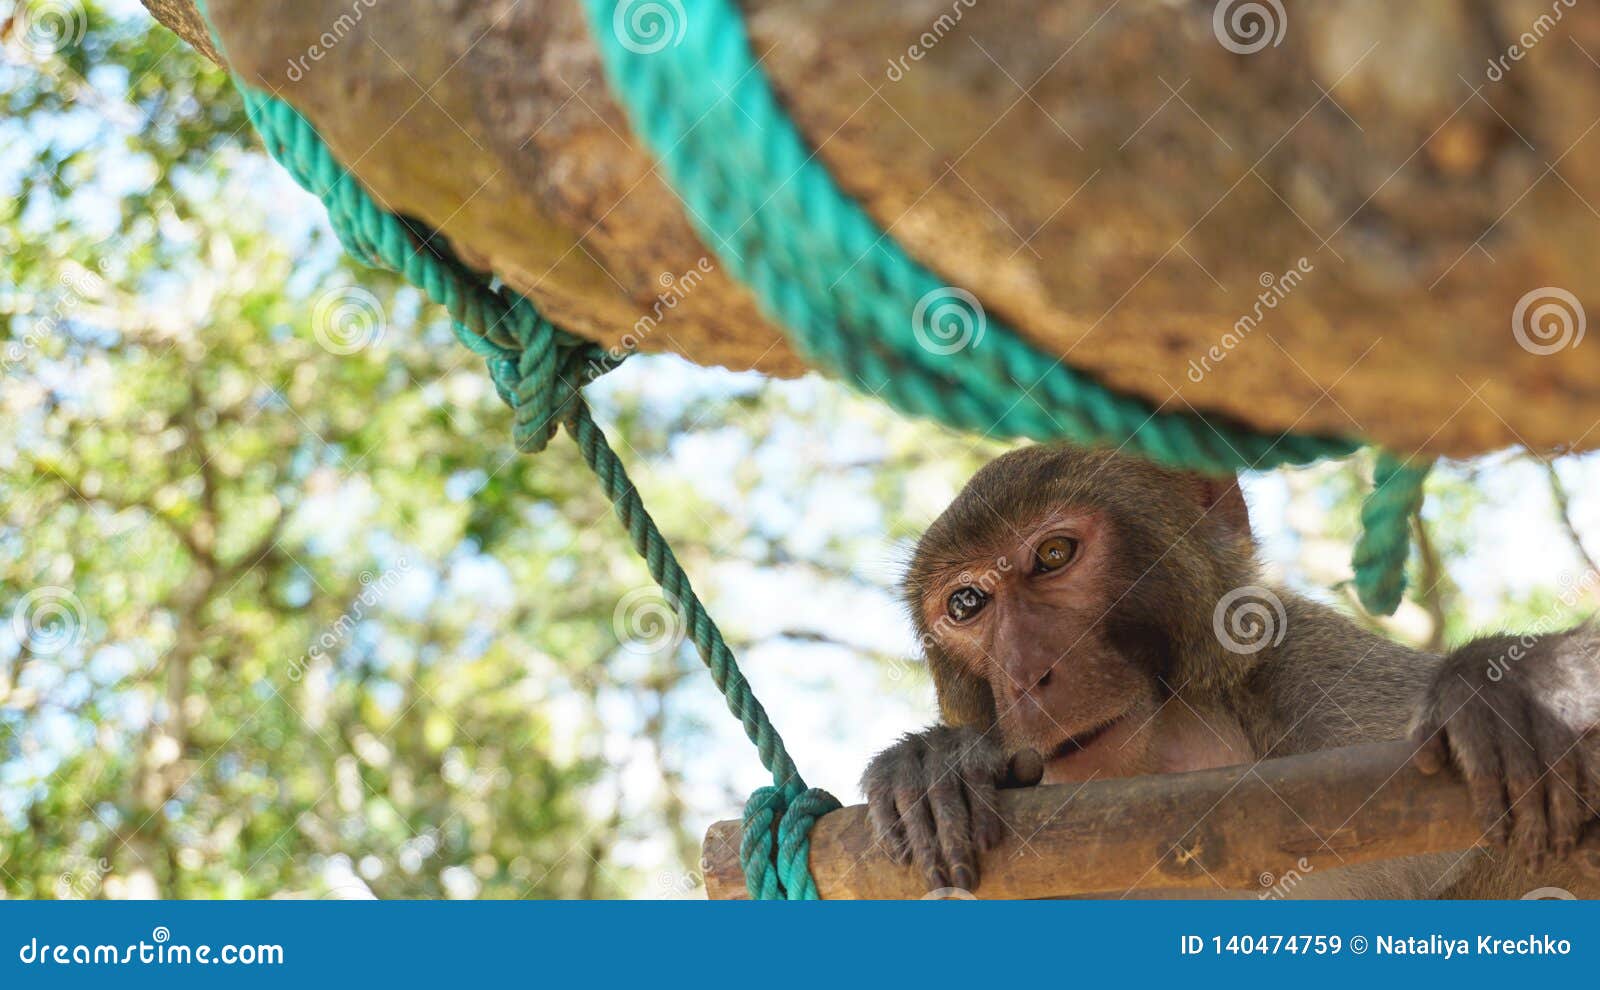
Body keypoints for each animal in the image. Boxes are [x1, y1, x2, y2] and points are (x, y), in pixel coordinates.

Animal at [861, 443, 1600, 898]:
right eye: (966, 603)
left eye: (1053, 555)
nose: (1025, 674)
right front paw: (935, 763)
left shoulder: (1334, 686)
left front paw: (1531, 682)